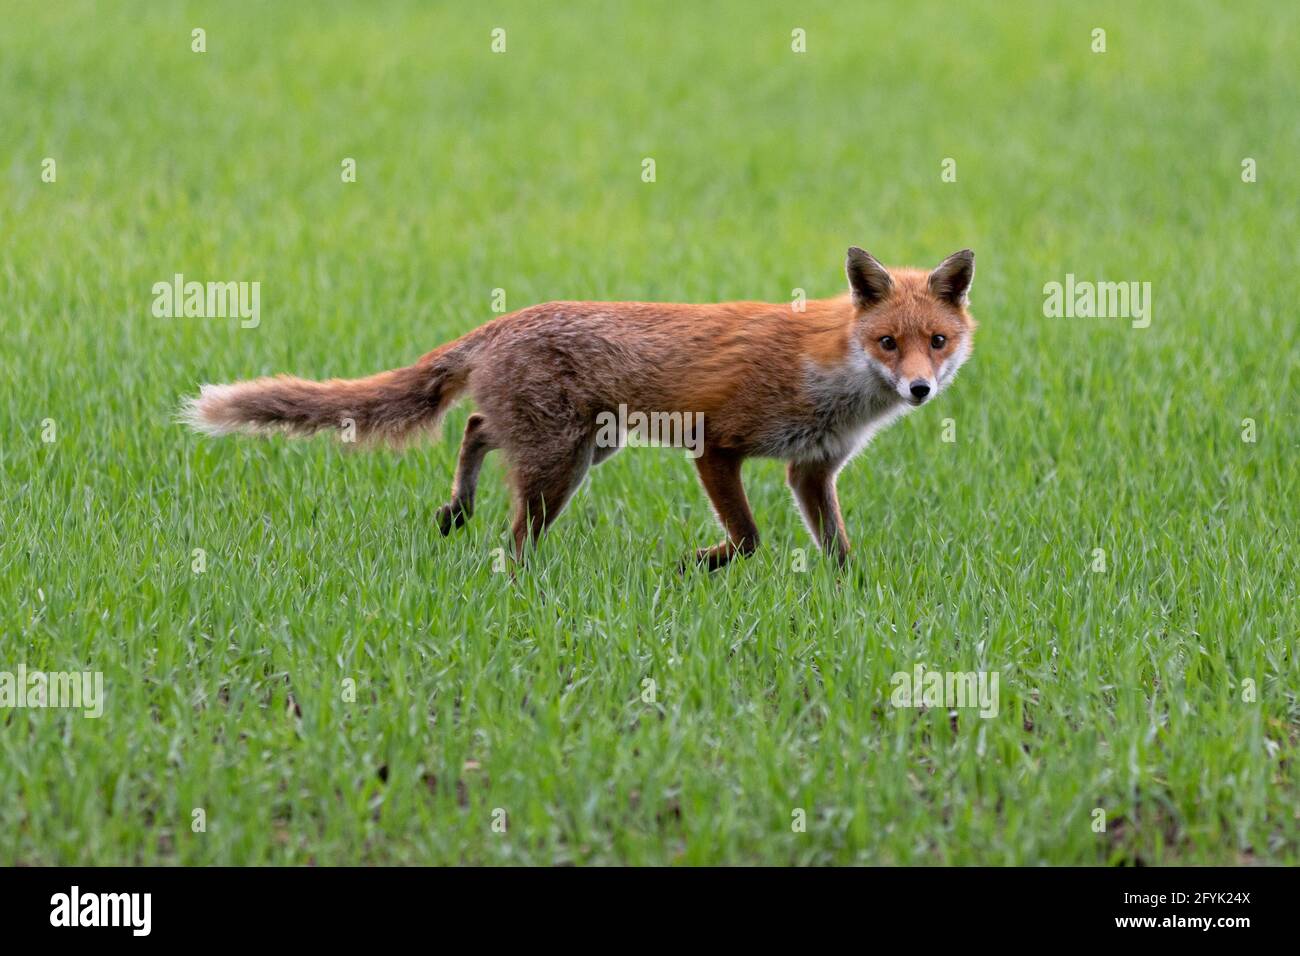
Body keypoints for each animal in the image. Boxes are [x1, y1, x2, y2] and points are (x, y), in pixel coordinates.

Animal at [183, 247, 976, 569]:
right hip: (560, 463)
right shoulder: (717, 445)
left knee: (475, 426)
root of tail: (504, 320)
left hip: (588, 447)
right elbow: (749, 539)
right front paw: (703, 563)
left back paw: (457, 509)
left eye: (936, 342)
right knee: (510, 527)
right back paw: (510, 570)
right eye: (888, 342)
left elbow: (839, 550)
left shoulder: (811, 471)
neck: (832, 376)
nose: (919, 390)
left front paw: (851, 601)